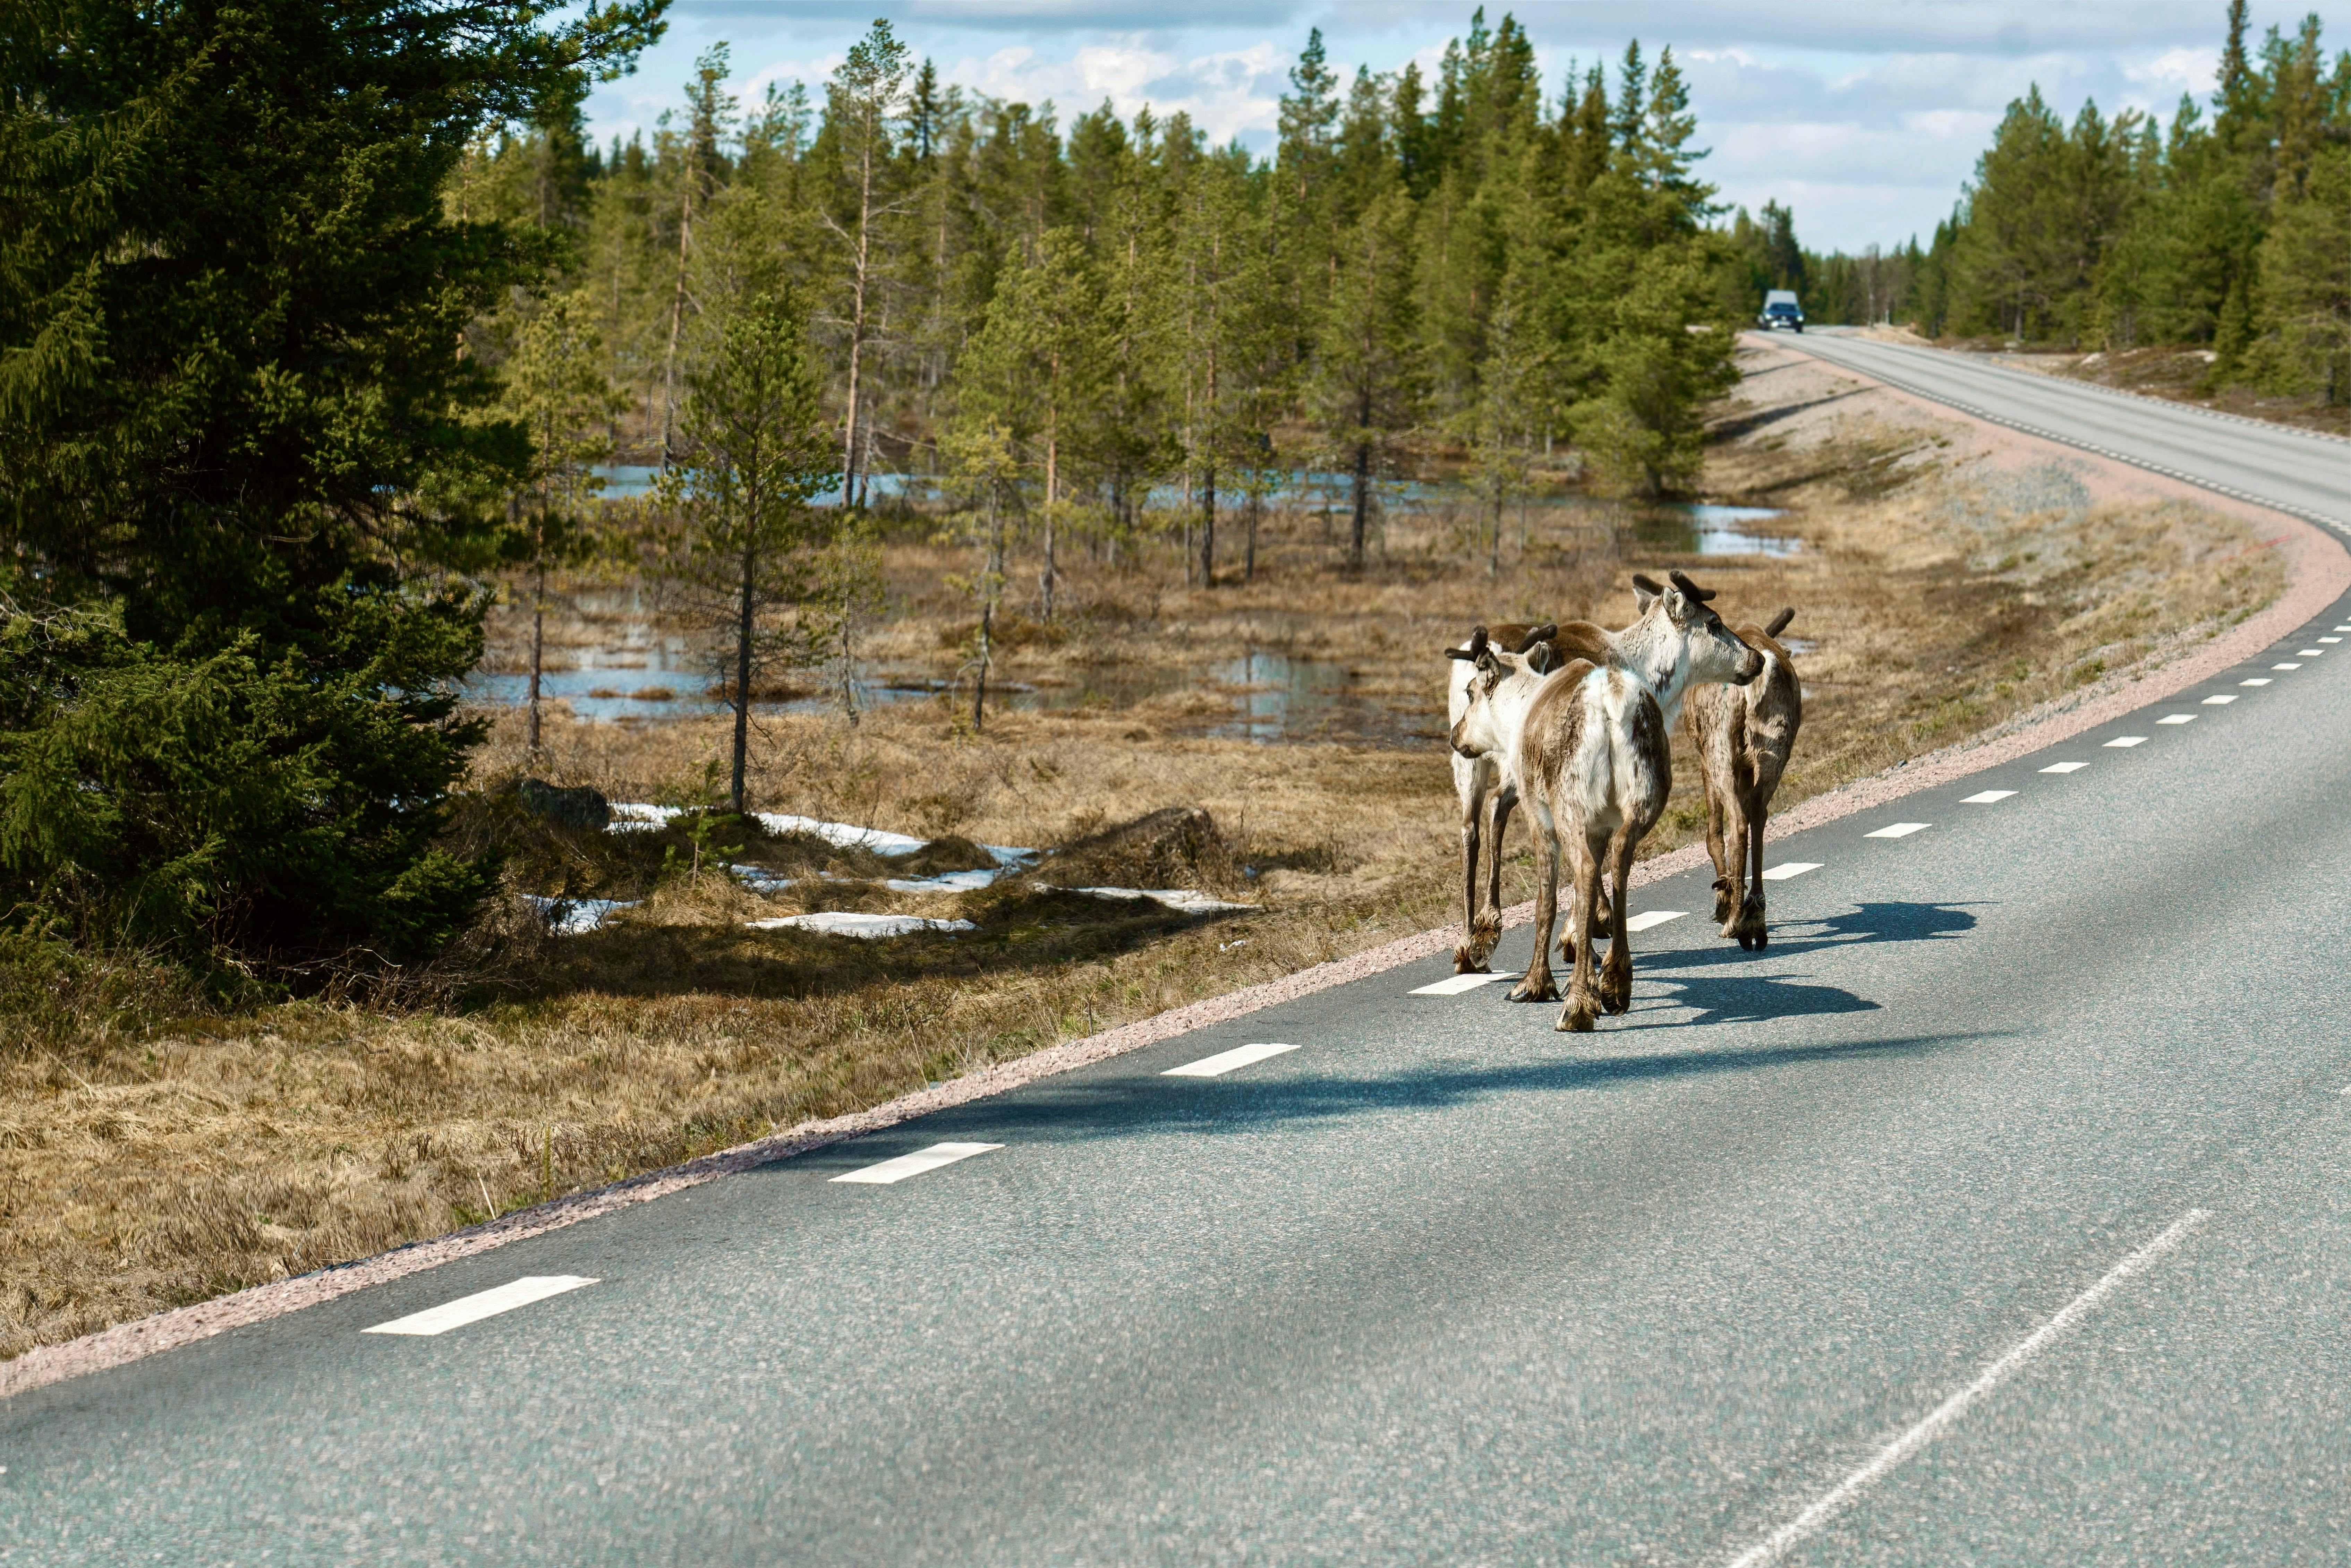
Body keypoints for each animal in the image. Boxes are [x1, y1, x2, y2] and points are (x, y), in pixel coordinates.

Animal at [1449, 572, 1762, 1031]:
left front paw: (1551, 969)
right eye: (1715, 622)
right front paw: (1581, 948)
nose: (1756, 659)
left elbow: (1558, 894)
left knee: (1498, 828)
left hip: (1534, 789)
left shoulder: (1553, 813)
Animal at [1685, 607, 1803, 950]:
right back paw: (1755, 908)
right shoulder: (1747, 765)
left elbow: (1712, 833)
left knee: (1738, 821)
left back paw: (1735, 918)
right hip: (1774, 746)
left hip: (1719, 749)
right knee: (1759, 812)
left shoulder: (1705, 759)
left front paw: (1722, 897)